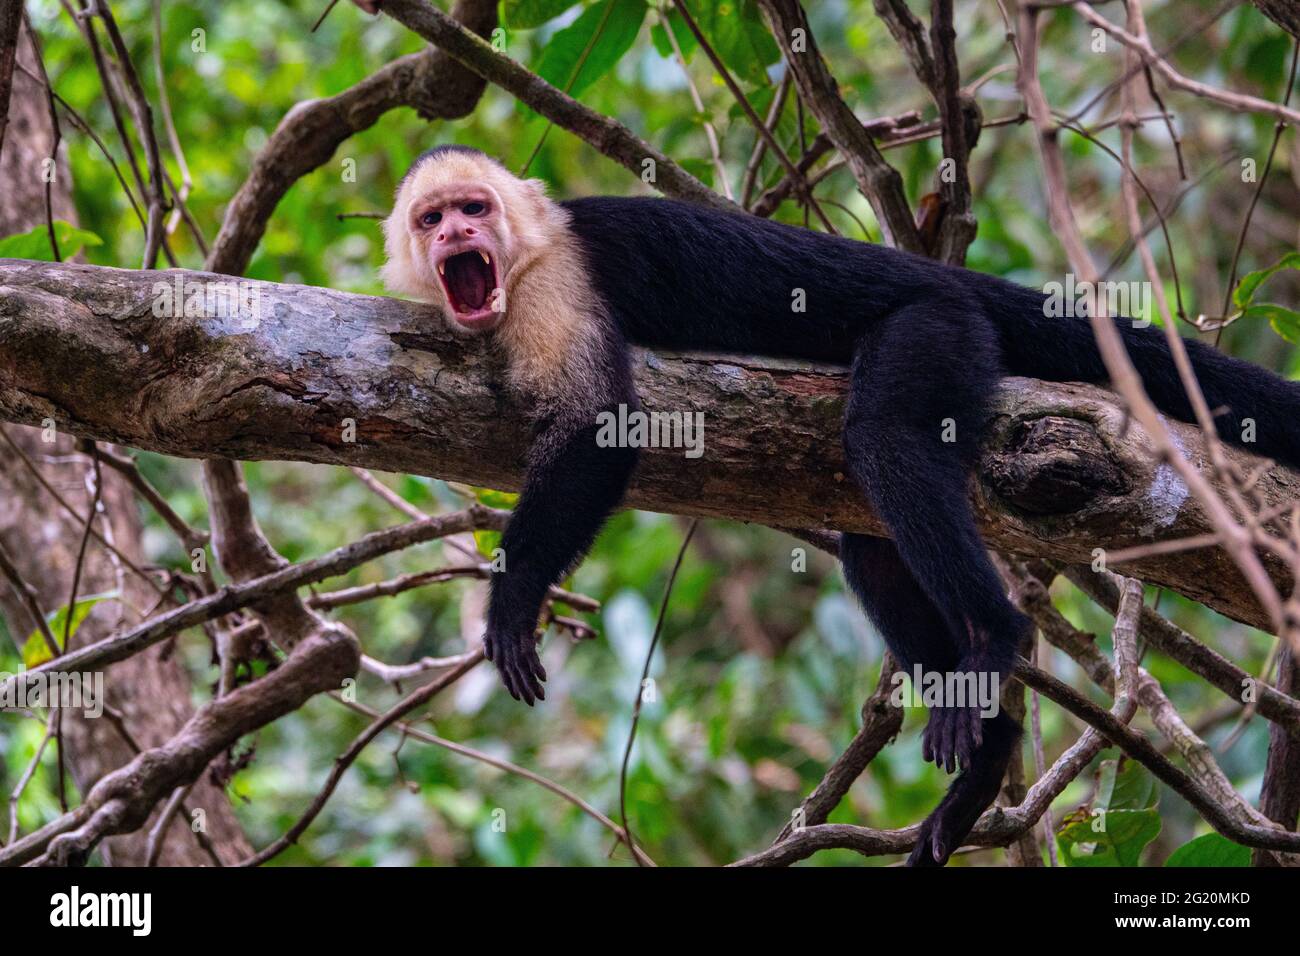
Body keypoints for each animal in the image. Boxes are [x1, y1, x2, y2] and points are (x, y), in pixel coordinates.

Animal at [381, 145, 1300, 866]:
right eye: (432, 220)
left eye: (475, 208)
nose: (458, 236)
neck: (524, 259)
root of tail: (944, 274)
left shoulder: (556, 286)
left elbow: (599, 429)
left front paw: (514, 599)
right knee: (876, 547)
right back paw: (988, 748)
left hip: (940, 325)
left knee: (887, 440)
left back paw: (994, 638)